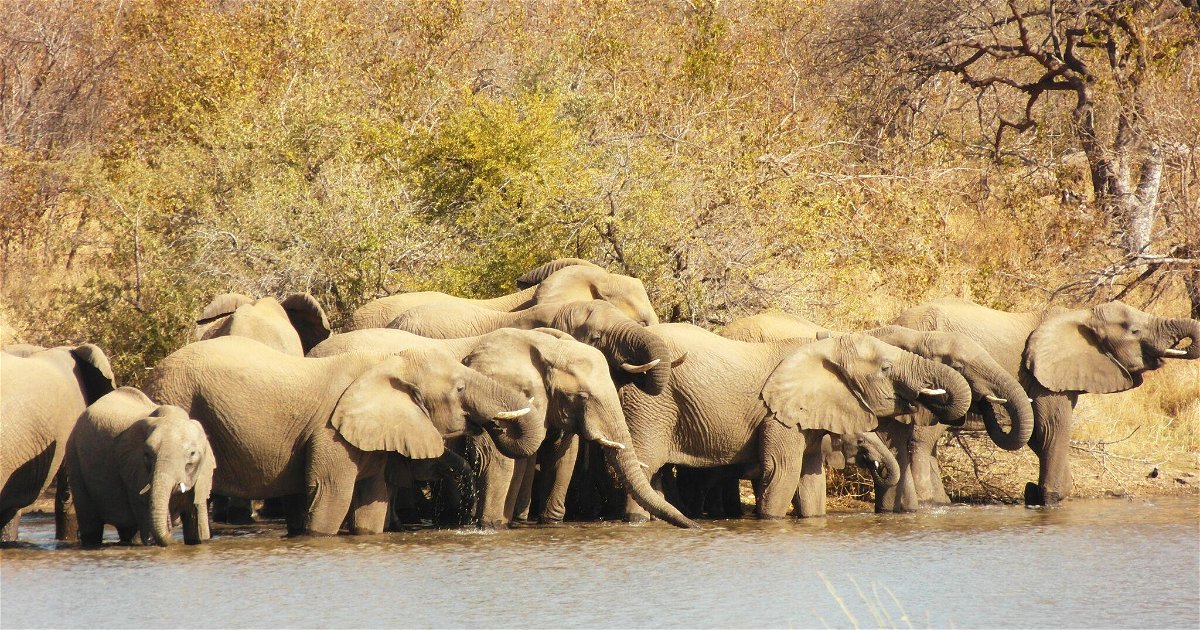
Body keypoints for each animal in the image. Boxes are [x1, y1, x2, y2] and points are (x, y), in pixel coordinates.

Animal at [66, 387, 215, 546]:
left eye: (192, 454)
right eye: (147, 455)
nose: (173, 536)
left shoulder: (202, 476)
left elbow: (199, 528)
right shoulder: (135, 470)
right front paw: (151, 542)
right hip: (74, 456)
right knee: (92, 524)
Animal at [144, 336, 533, 535]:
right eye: (460, 388)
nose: (468, 472)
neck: (386, 362)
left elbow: (372, 506)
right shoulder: (330, 434)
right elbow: (330, 498)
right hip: (178, 398)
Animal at [308, 328, 698, 529]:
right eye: (582, 396)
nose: (693, 526)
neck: (541, 346)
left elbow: (521, 463)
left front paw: (506, 524)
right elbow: (500, 462)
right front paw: (491, 527)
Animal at [619, 325, 971, 521]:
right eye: (885, 368)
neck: (823, 346)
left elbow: (811, 480)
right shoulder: (778, 415)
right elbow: (781, 473)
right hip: (650, 404)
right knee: (645, 465)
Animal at [894, 298, 1199, 505]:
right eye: (1134, 331)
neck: (1081, 313)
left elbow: (1040, 436)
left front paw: (1036, 493)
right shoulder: (1043, 378)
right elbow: (1051, 428)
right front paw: (1052, 498)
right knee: (923, 437)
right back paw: (927, 502)